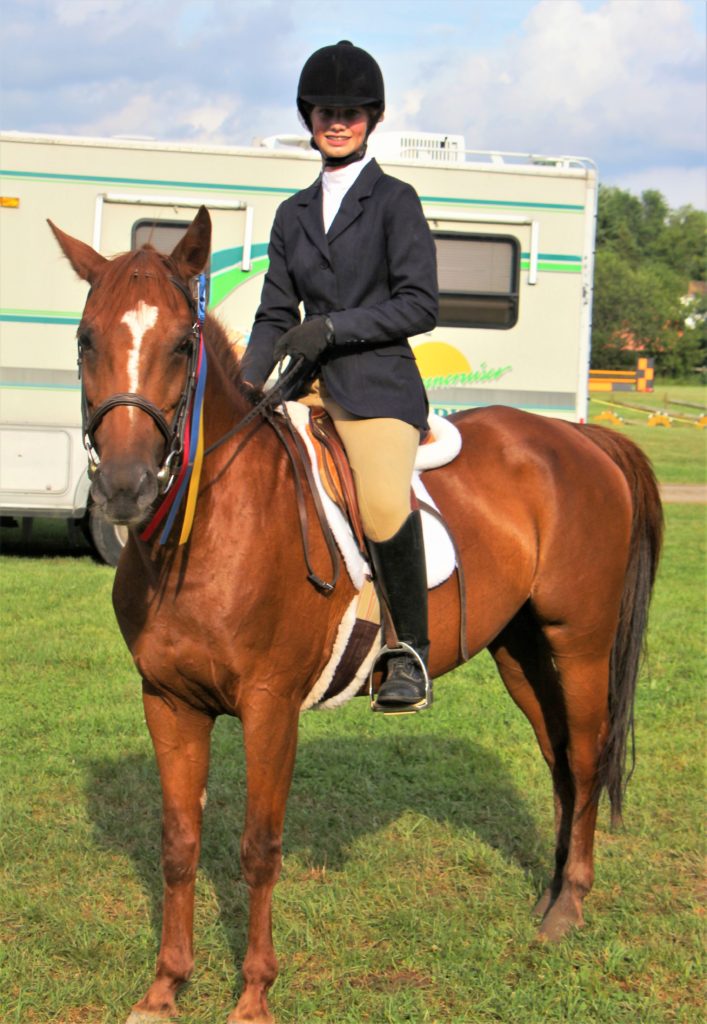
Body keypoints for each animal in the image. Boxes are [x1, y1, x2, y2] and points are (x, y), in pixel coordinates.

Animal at [49, 206, 663, 1024]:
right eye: (86, 339)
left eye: (181, 344)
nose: (124, 487)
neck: (209, 529)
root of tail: (582, 438)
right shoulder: (169, 701)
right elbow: (178, 841)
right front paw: (165, 987)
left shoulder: (270, 706)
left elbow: (258, 846)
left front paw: (253, 994)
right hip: (521, 651)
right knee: (561, 761)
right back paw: (551, 892)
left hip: (581, 644)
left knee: (588, 759)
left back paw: (569, 908)